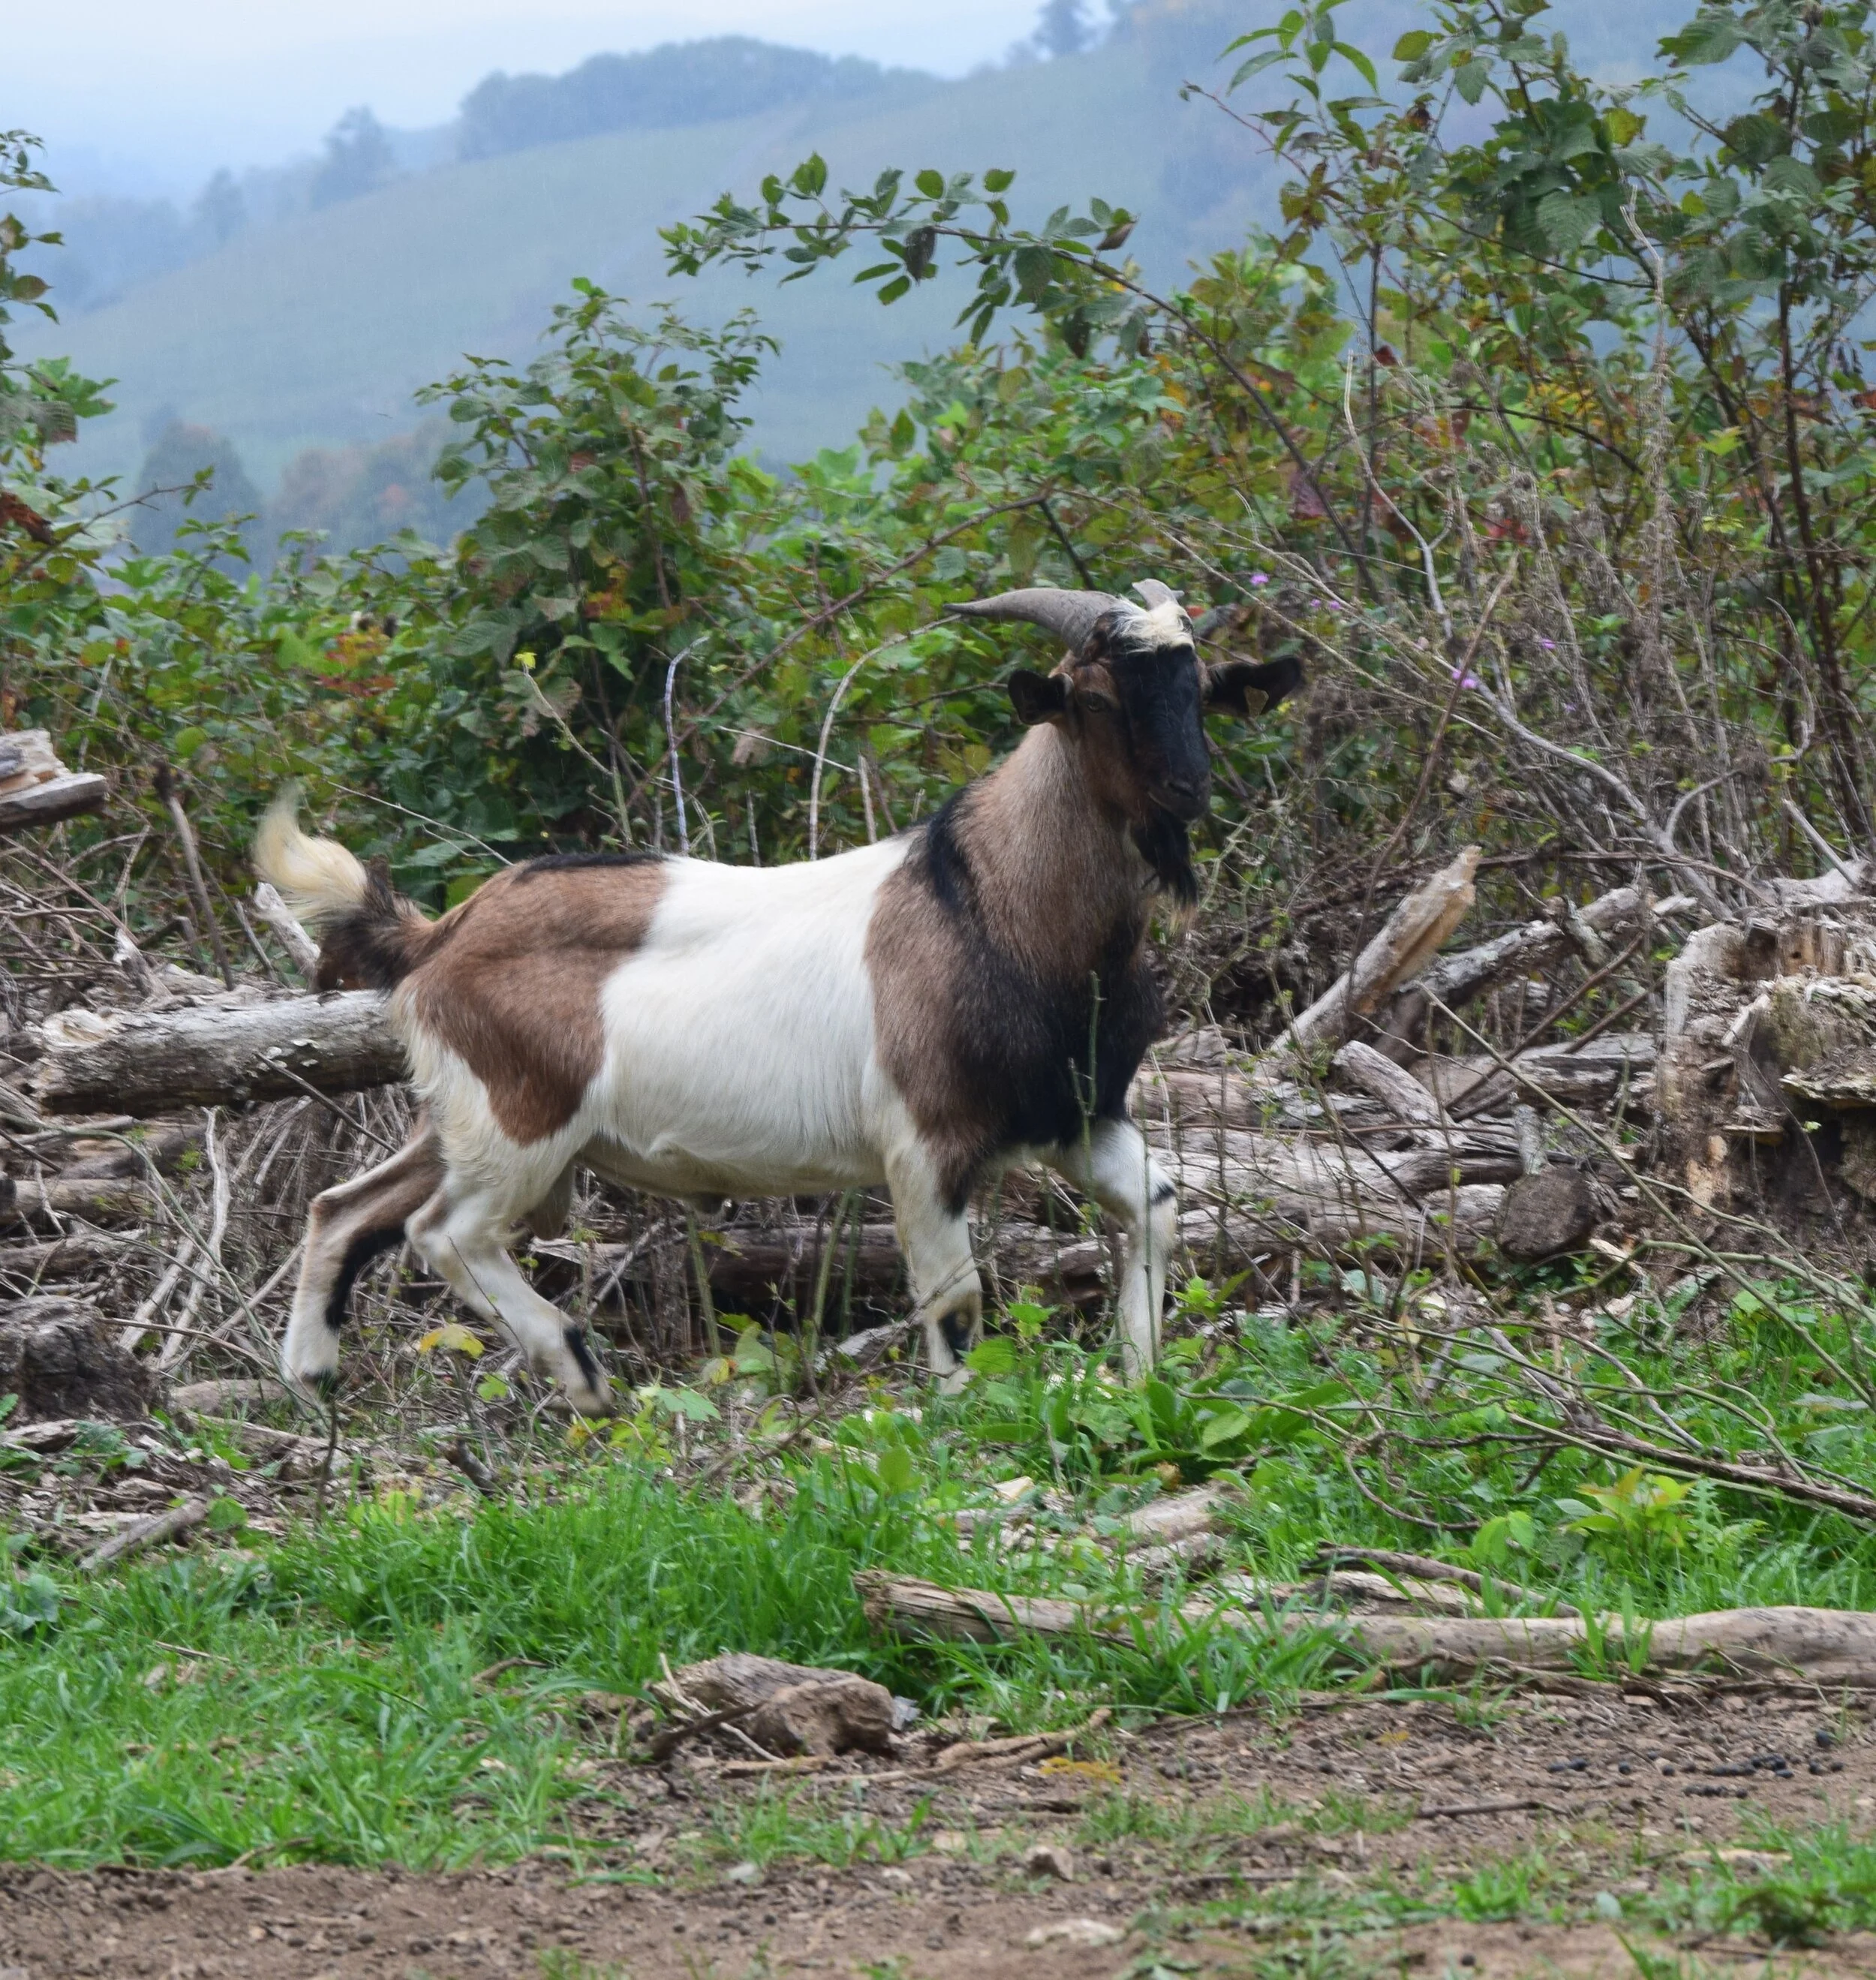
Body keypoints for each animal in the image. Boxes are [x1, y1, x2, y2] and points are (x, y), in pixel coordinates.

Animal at [256, 582, 1299, 1412]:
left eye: (1199, 687)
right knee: (445, 1230)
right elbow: (955, 1296)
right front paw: (965, 1424)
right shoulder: (925, 1140)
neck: (990, 903)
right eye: (1092, 696)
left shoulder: (1078, 1115)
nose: (1188, 789)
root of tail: (437, 937)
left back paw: (312, 1379)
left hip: (464, 1117)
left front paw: (1140, 1375)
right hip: (525, 1119)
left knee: (346, 1207)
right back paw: (580, 1372)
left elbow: (1157, 1208)